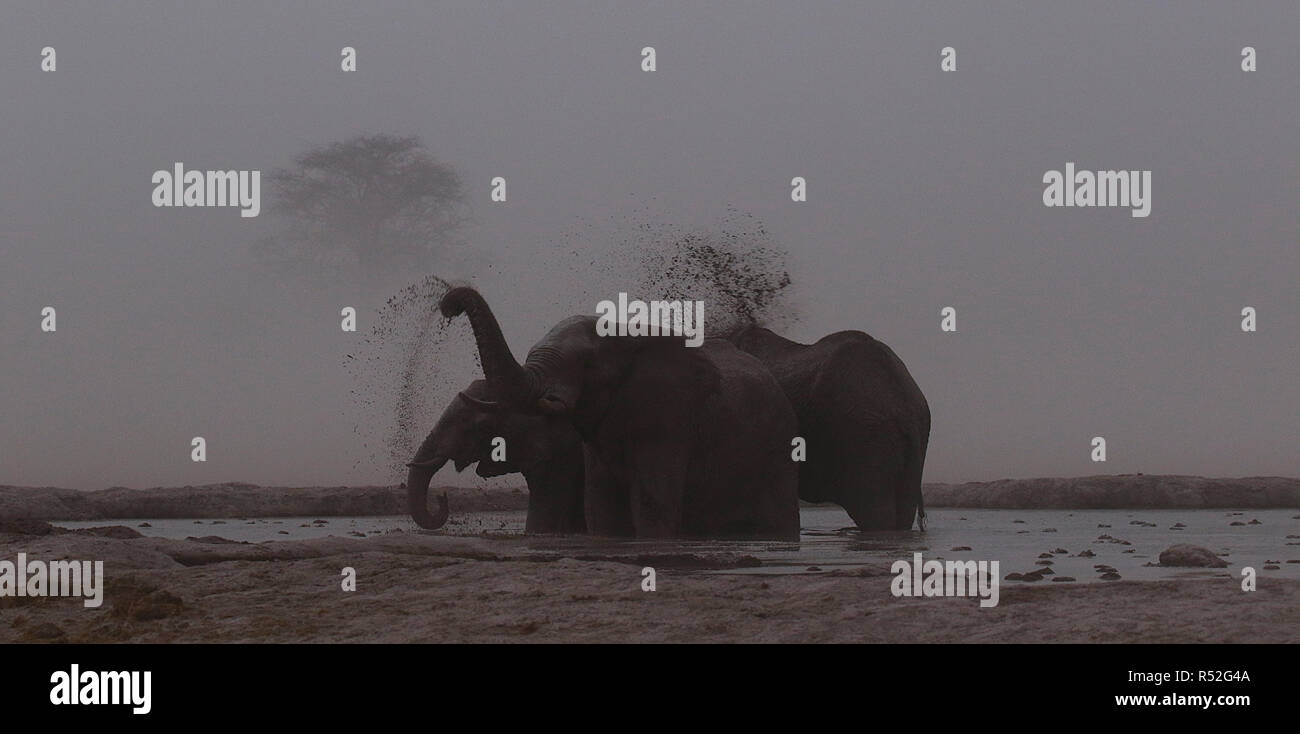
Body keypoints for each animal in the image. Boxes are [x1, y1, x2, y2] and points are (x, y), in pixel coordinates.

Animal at [439, 287, 801, 540]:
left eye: (585, 365)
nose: (448, 306)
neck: (623, 331)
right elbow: (602, 507)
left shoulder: (669, 417)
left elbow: (653, 505)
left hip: (777, 452)